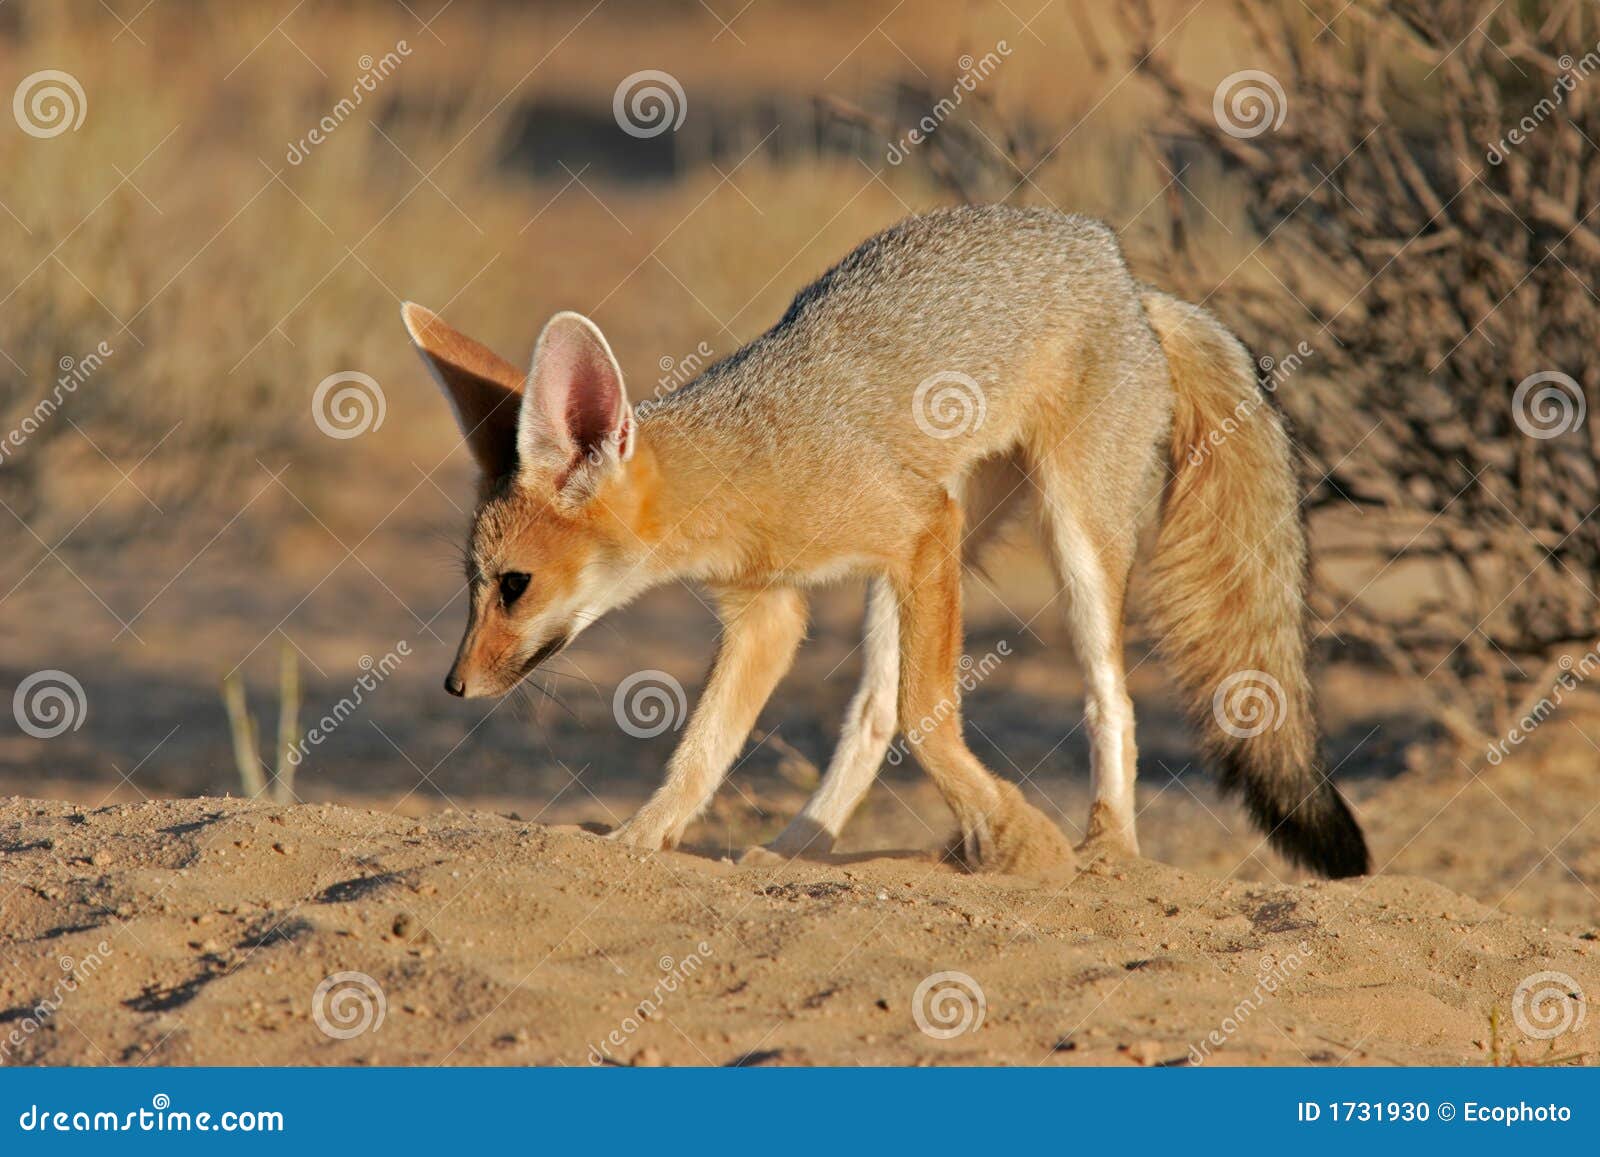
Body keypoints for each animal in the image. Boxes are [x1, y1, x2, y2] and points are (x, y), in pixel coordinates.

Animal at [401, 203, 1371, 879]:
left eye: (513, 585)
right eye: (472, 584)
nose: (455, 684)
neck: (748, 463)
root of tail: (1126, 274)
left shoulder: (915, 530)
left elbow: (927, 711)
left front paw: (1016, 833)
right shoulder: (771, 610)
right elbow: (705, 750)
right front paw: (642, 836)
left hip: (1064, 541)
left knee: (1111, 700)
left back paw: (1108, 845)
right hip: (919, 563)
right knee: (868, 710)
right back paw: (802, 844)